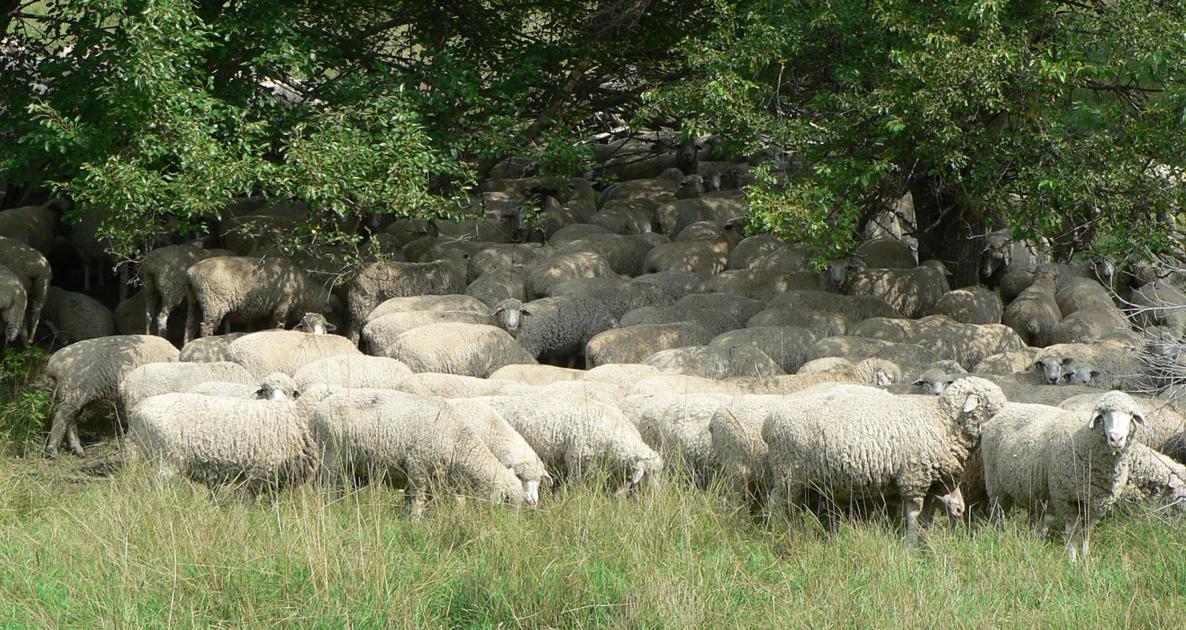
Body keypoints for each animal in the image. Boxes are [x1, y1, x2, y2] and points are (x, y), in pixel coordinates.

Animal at [46, 335, 181, 457]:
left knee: (70, 420)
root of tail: (52, 365)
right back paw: (53, 449)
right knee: (60, 418)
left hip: (73, 395)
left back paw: (77, 449)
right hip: (73, 391)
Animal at [184, 256, 336, 343]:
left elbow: (264, 327)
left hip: (194, 302)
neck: (304, 289)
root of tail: (190, 273)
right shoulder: (282, 306)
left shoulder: (265, 312)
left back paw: (187, 345)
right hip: (213, 302)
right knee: (206, 326)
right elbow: (278, 325)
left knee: (190, 325)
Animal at [307, 390, 525, 511]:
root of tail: (316, 413)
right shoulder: (419, 468)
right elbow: (417, 499)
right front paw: (415, 521)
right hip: (332, 457)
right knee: (328, 488)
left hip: (355, 466)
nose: (510, 528)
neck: (458, 441)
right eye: (507, 502)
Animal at [763, 377, 1007, 544]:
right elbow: (914, 516)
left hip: (806, 479)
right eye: (990, 405)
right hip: (789, 472)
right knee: (778, 504)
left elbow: (926, 520)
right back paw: (784, 534)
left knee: (796, 507)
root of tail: (769, 421)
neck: (942, 420)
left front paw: (925, 546)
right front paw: (911, 547)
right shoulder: (913, 479)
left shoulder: (929, 483)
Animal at [980, 392, 1144, 561]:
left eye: (1131, 414)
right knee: (998, 517)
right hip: (996, 487)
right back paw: (999, 539)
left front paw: (1085, 559)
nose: (1116, 439)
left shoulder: (1095, 504)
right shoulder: (1067, 498)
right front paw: (1071, 560)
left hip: (1032, 489)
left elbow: (1086, 534)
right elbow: (1072, 534)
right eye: (1103, 414)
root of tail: (1003, 412)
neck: (1085, 440)